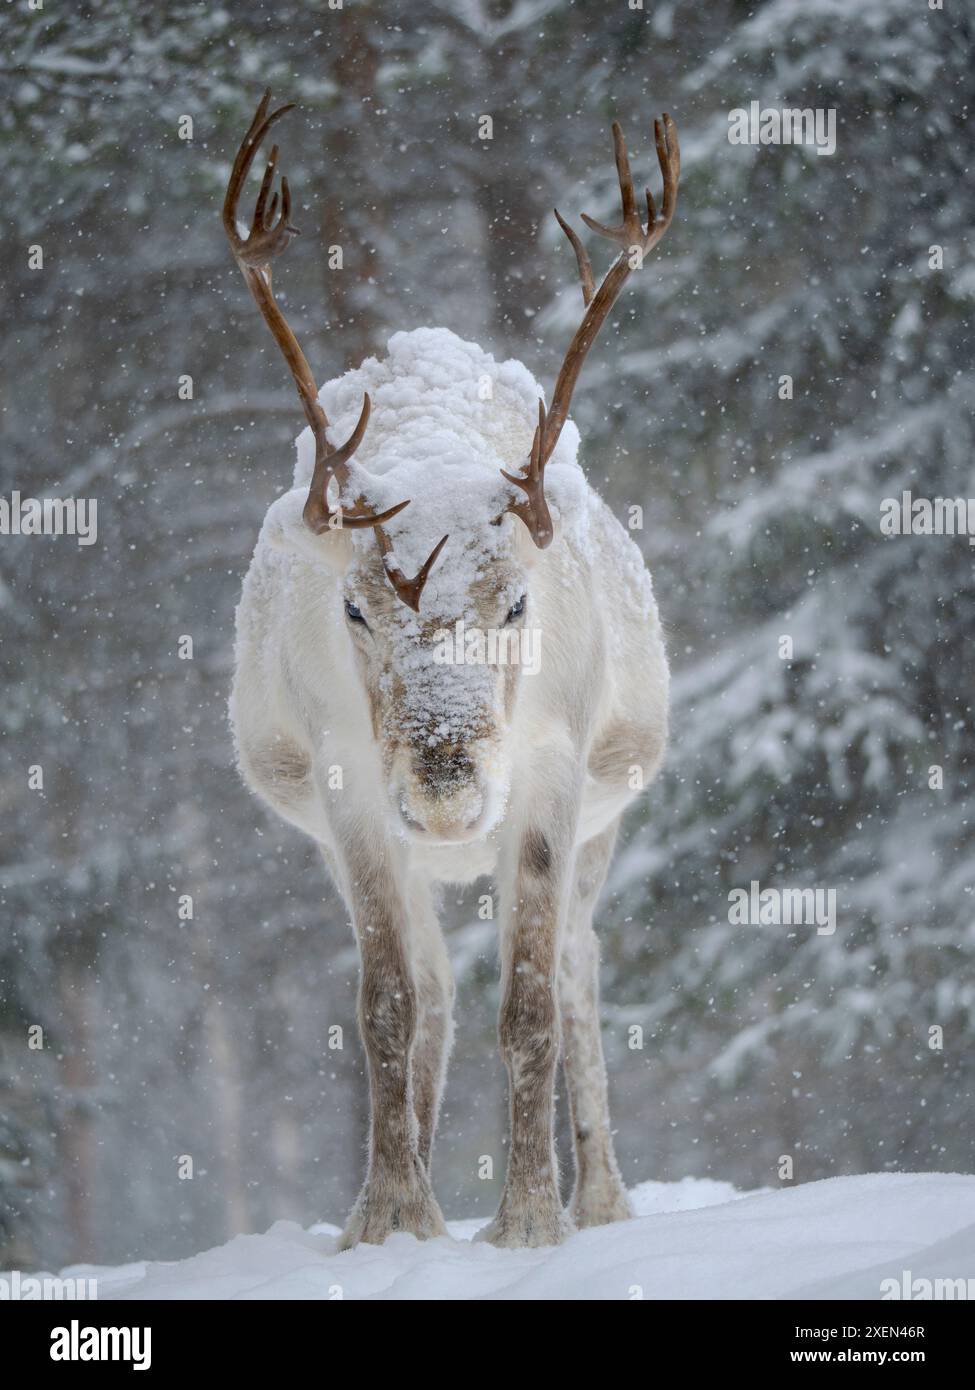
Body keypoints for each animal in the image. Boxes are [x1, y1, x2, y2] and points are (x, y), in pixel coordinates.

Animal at [224, 91, 678, 1249]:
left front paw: (530, 1221)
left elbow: (530, 1005)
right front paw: (395, 1220)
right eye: (353, 606)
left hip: (609, 813)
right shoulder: (346, 786)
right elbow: (385, 1004)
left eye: (517, 602)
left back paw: (603, 1195)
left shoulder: (555, 772)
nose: (444, 791)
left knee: (579, 968)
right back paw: (393, 1197)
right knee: (430, 988)